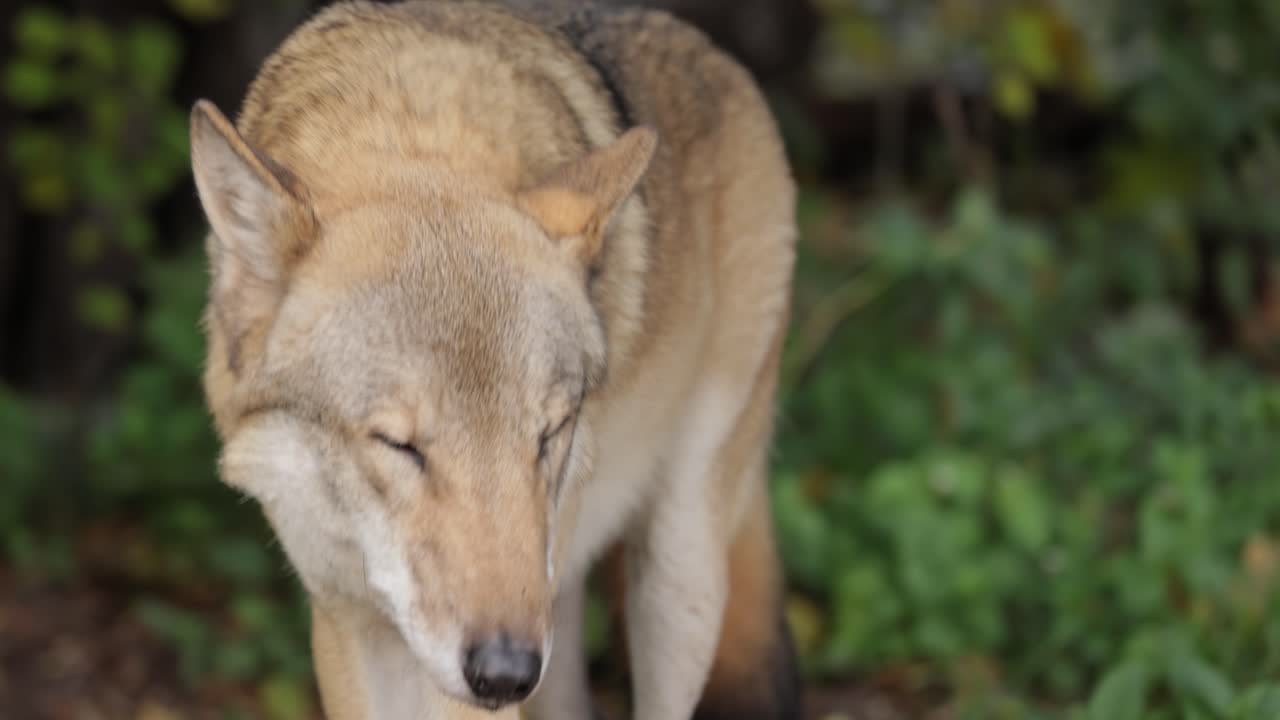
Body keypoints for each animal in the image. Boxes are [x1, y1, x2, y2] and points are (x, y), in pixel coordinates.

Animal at [189, 1, 799, 718]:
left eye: (548, 434)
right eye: (399, 445)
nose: (506, 672)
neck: (410, 133)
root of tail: (714, 53)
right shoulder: (345, 618)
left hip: (677, 576)